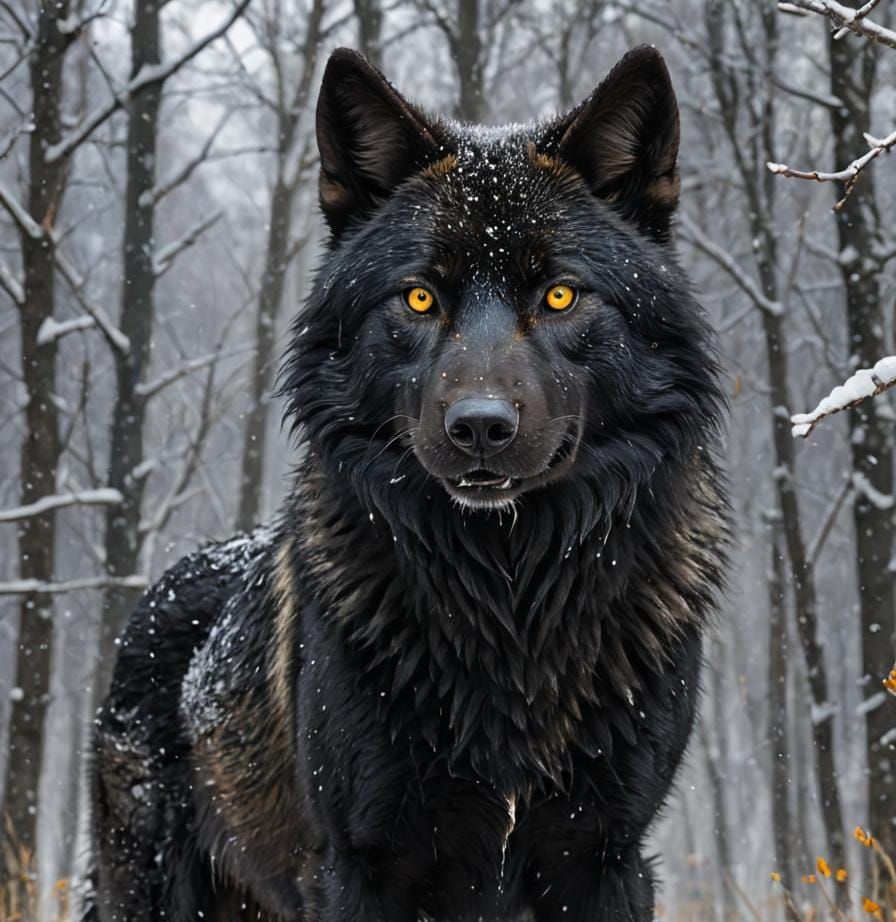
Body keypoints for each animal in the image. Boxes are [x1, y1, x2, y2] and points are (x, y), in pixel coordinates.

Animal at [87, 46, 728, 922]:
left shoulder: (603, 857)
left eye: (559, 293)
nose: (480, 426)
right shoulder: (364, 863)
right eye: (420, 297)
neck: (509, 601)